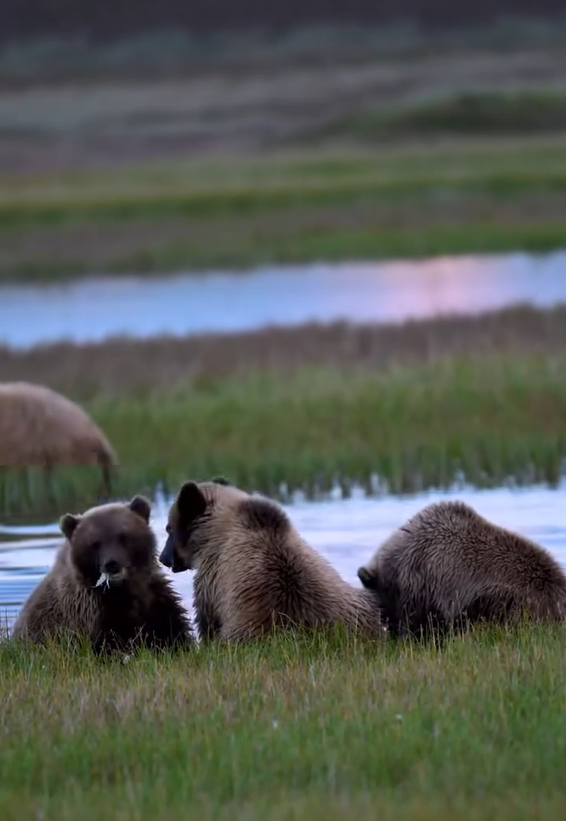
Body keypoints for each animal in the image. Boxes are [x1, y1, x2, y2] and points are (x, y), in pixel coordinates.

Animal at [12, 495, 193, 654]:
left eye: (123, 536)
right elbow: (107, 643)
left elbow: (173, 630)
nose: (112, 564)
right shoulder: (90, 612)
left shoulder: (155, 598)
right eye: (94, 543)